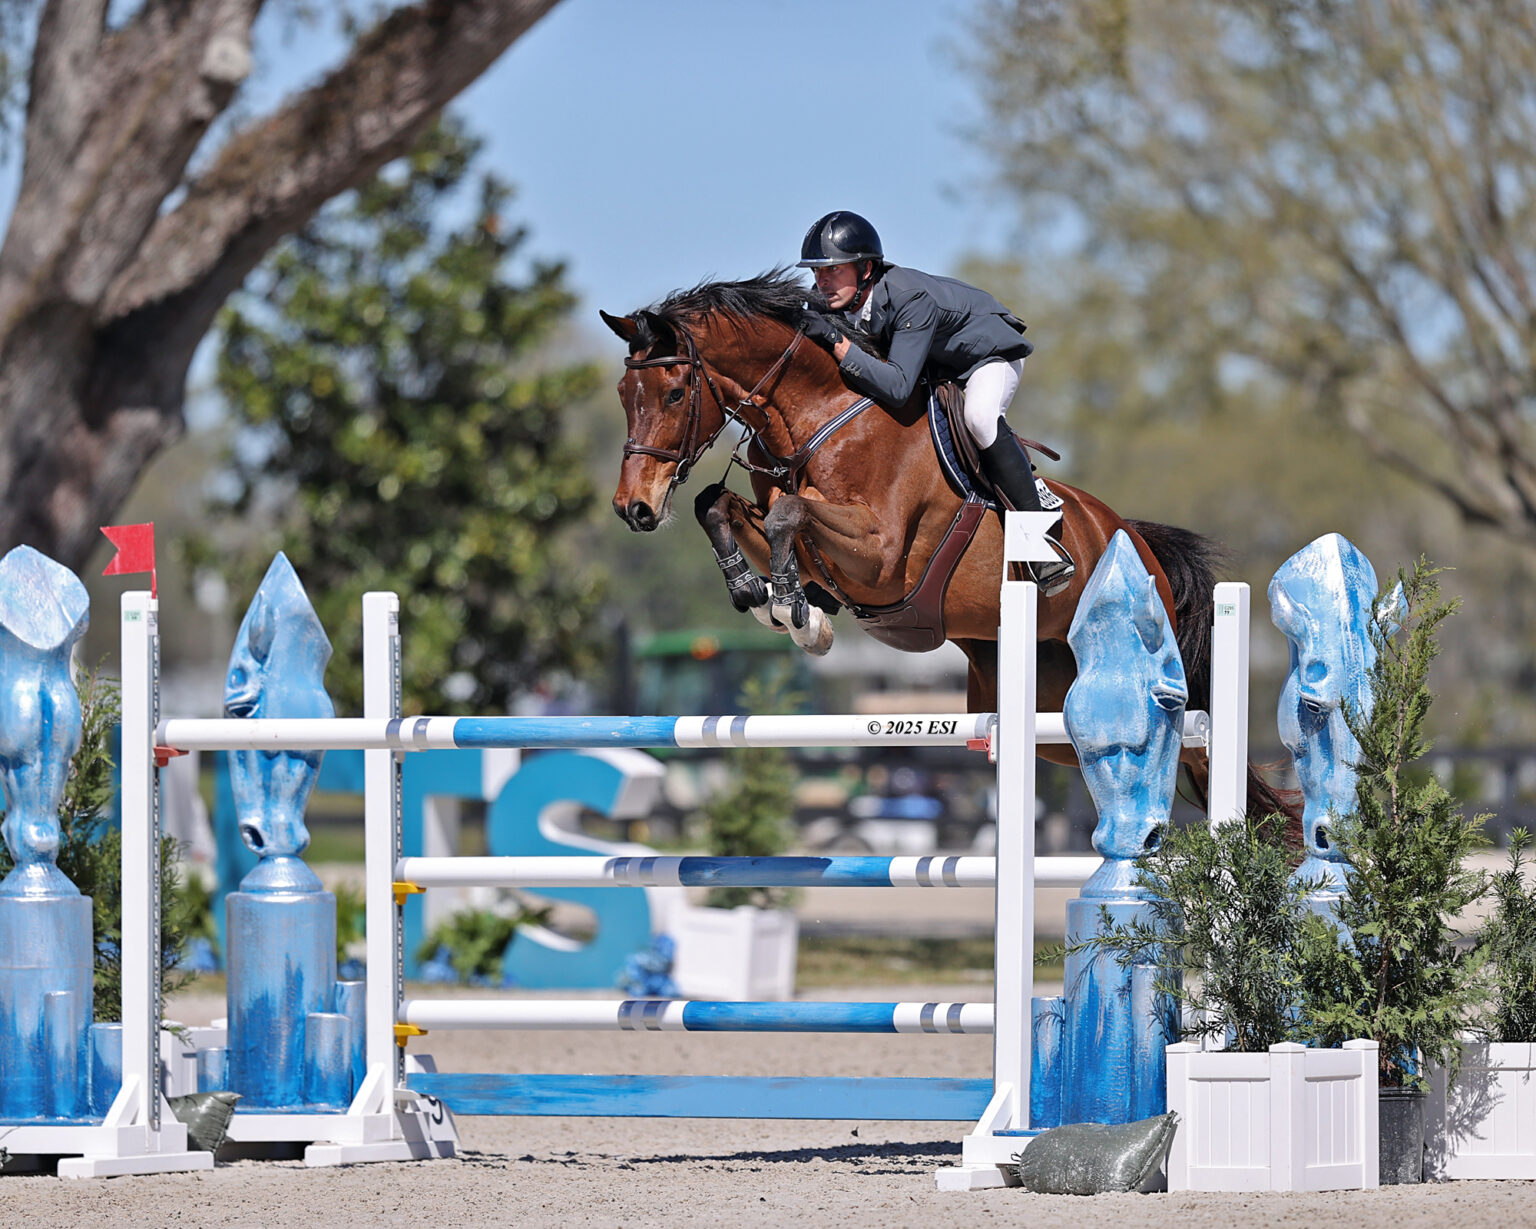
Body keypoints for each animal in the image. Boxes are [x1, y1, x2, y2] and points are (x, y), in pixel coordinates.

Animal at [601, 271, 1295, 823]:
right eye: (623, 397)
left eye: (673, 393)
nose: (633, 509)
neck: (819, 416)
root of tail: (1137, 541)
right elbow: (718, 506)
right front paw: (768, 596)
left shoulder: (881, 557)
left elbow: (788, 516)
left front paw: (795, 611)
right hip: (1047, 714)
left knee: (1188, 750)